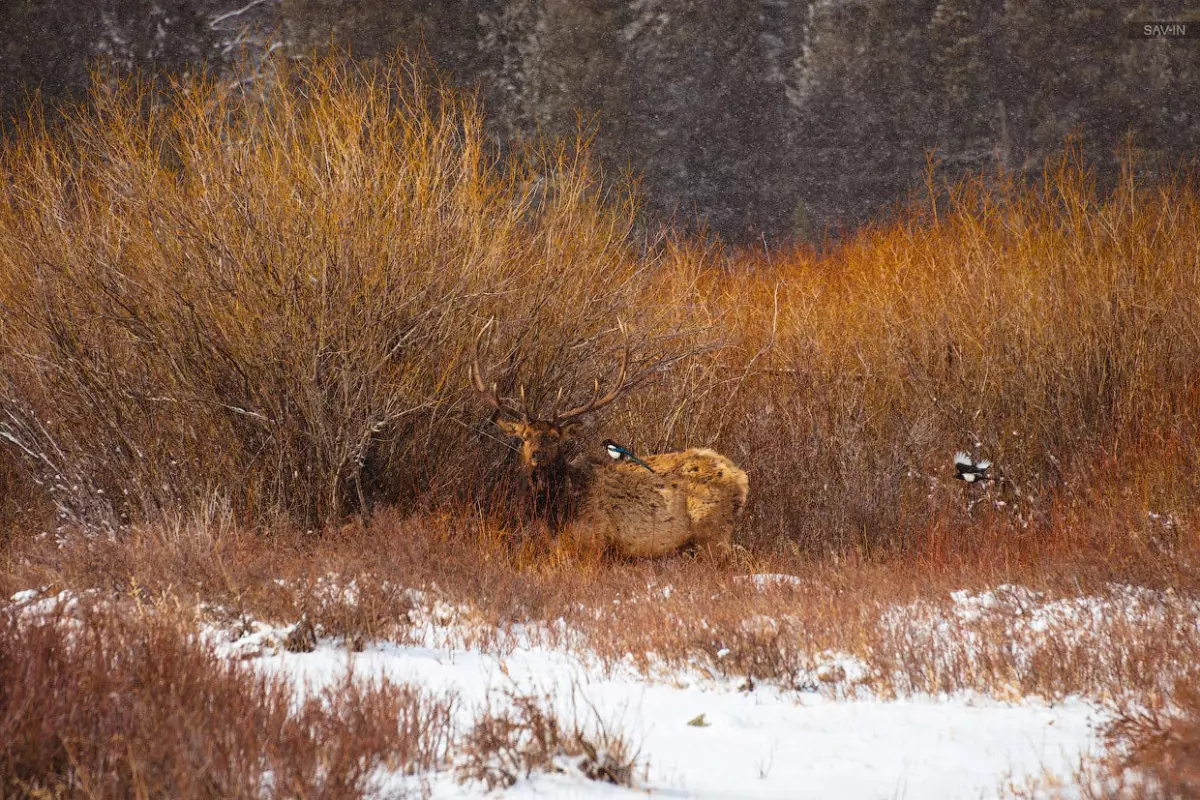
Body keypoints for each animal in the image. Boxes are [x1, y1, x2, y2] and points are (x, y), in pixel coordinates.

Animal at [470, 321, 744, 561]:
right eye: (525, 436)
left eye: (554, 438)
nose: (538, 454)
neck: (556, 513)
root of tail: (740, 477)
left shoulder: (596, 542)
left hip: (712, 534)